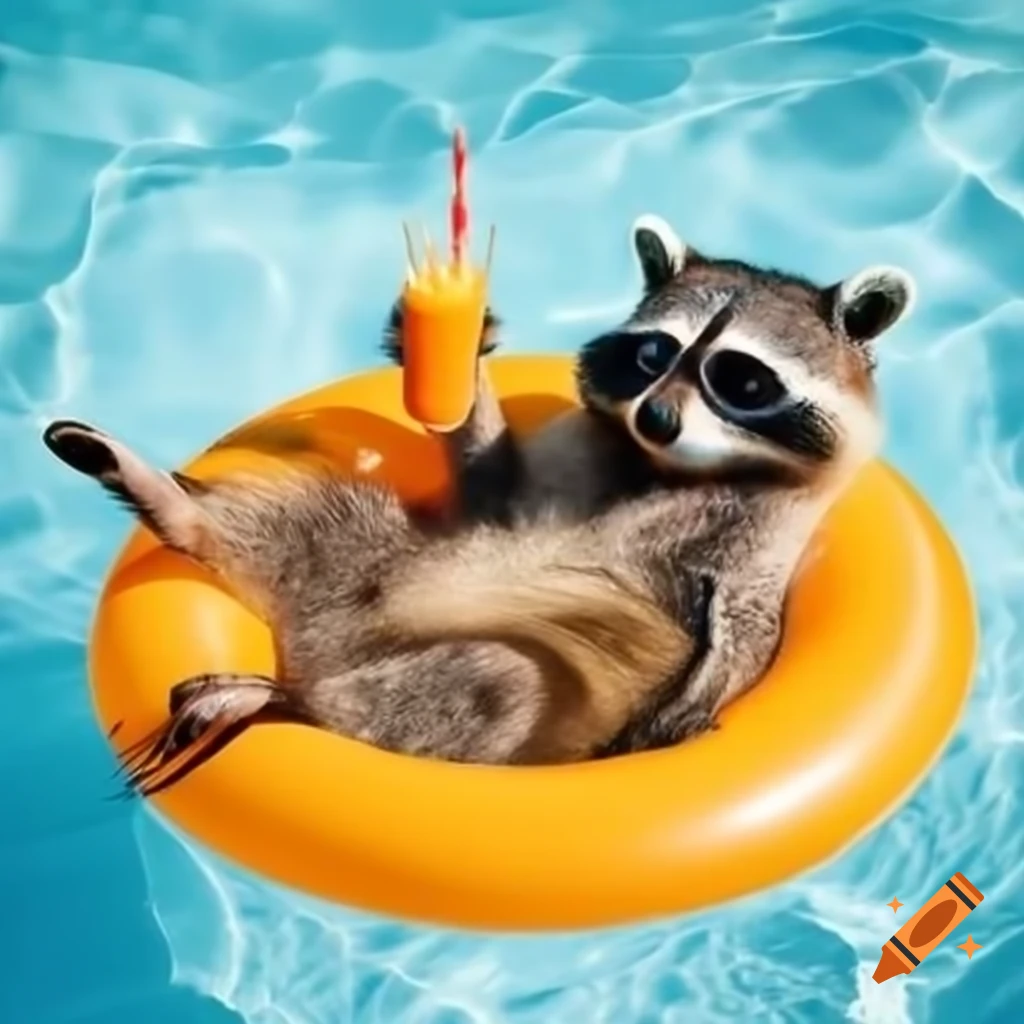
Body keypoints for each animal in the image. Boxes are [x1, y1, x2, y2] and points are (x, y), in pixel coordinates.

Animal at [43, 215, 913, 795]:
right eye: (653, 354)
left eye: (740, 377)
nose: (659, 416)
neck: (662, 465)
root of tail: (318, 651)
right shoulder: (567, 453)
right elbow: (496, 491)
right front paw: (460, 363)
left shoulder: (758, 547)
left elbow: (742, 636)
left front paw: (669, 728)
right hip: (361, 568)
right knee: (313, 525)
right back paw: (172, 506)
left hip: (533, 700)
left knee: (500, 680)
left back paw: (301, 709)